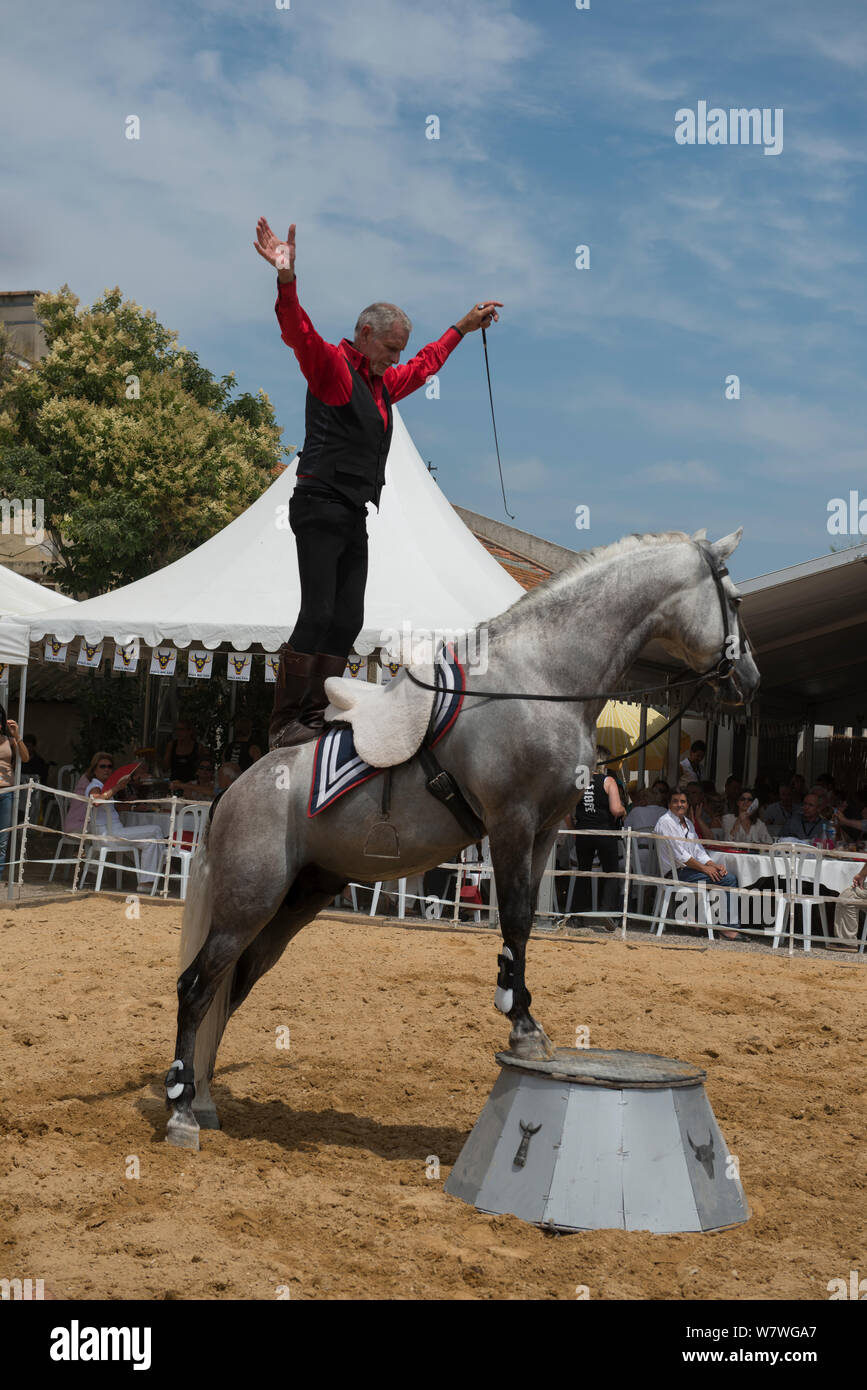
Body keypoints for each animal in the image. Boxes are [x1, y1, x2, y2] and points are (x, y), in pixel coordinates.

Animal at [164, 528, 759, 1148]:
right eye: (736, 601)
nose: (750, 681)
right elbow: (515, 918)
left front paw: (523, 1013)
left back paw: (202, 1099)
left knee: (229, 988)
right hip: (248, 903)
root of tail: (236, 790)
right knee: (195, 987)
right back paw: (181, 1108)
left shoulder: (544, 832)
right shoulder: (511, 822)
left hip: (292, 906)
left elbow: (526, 923)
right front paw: (522, 1024)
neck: (539, 680)